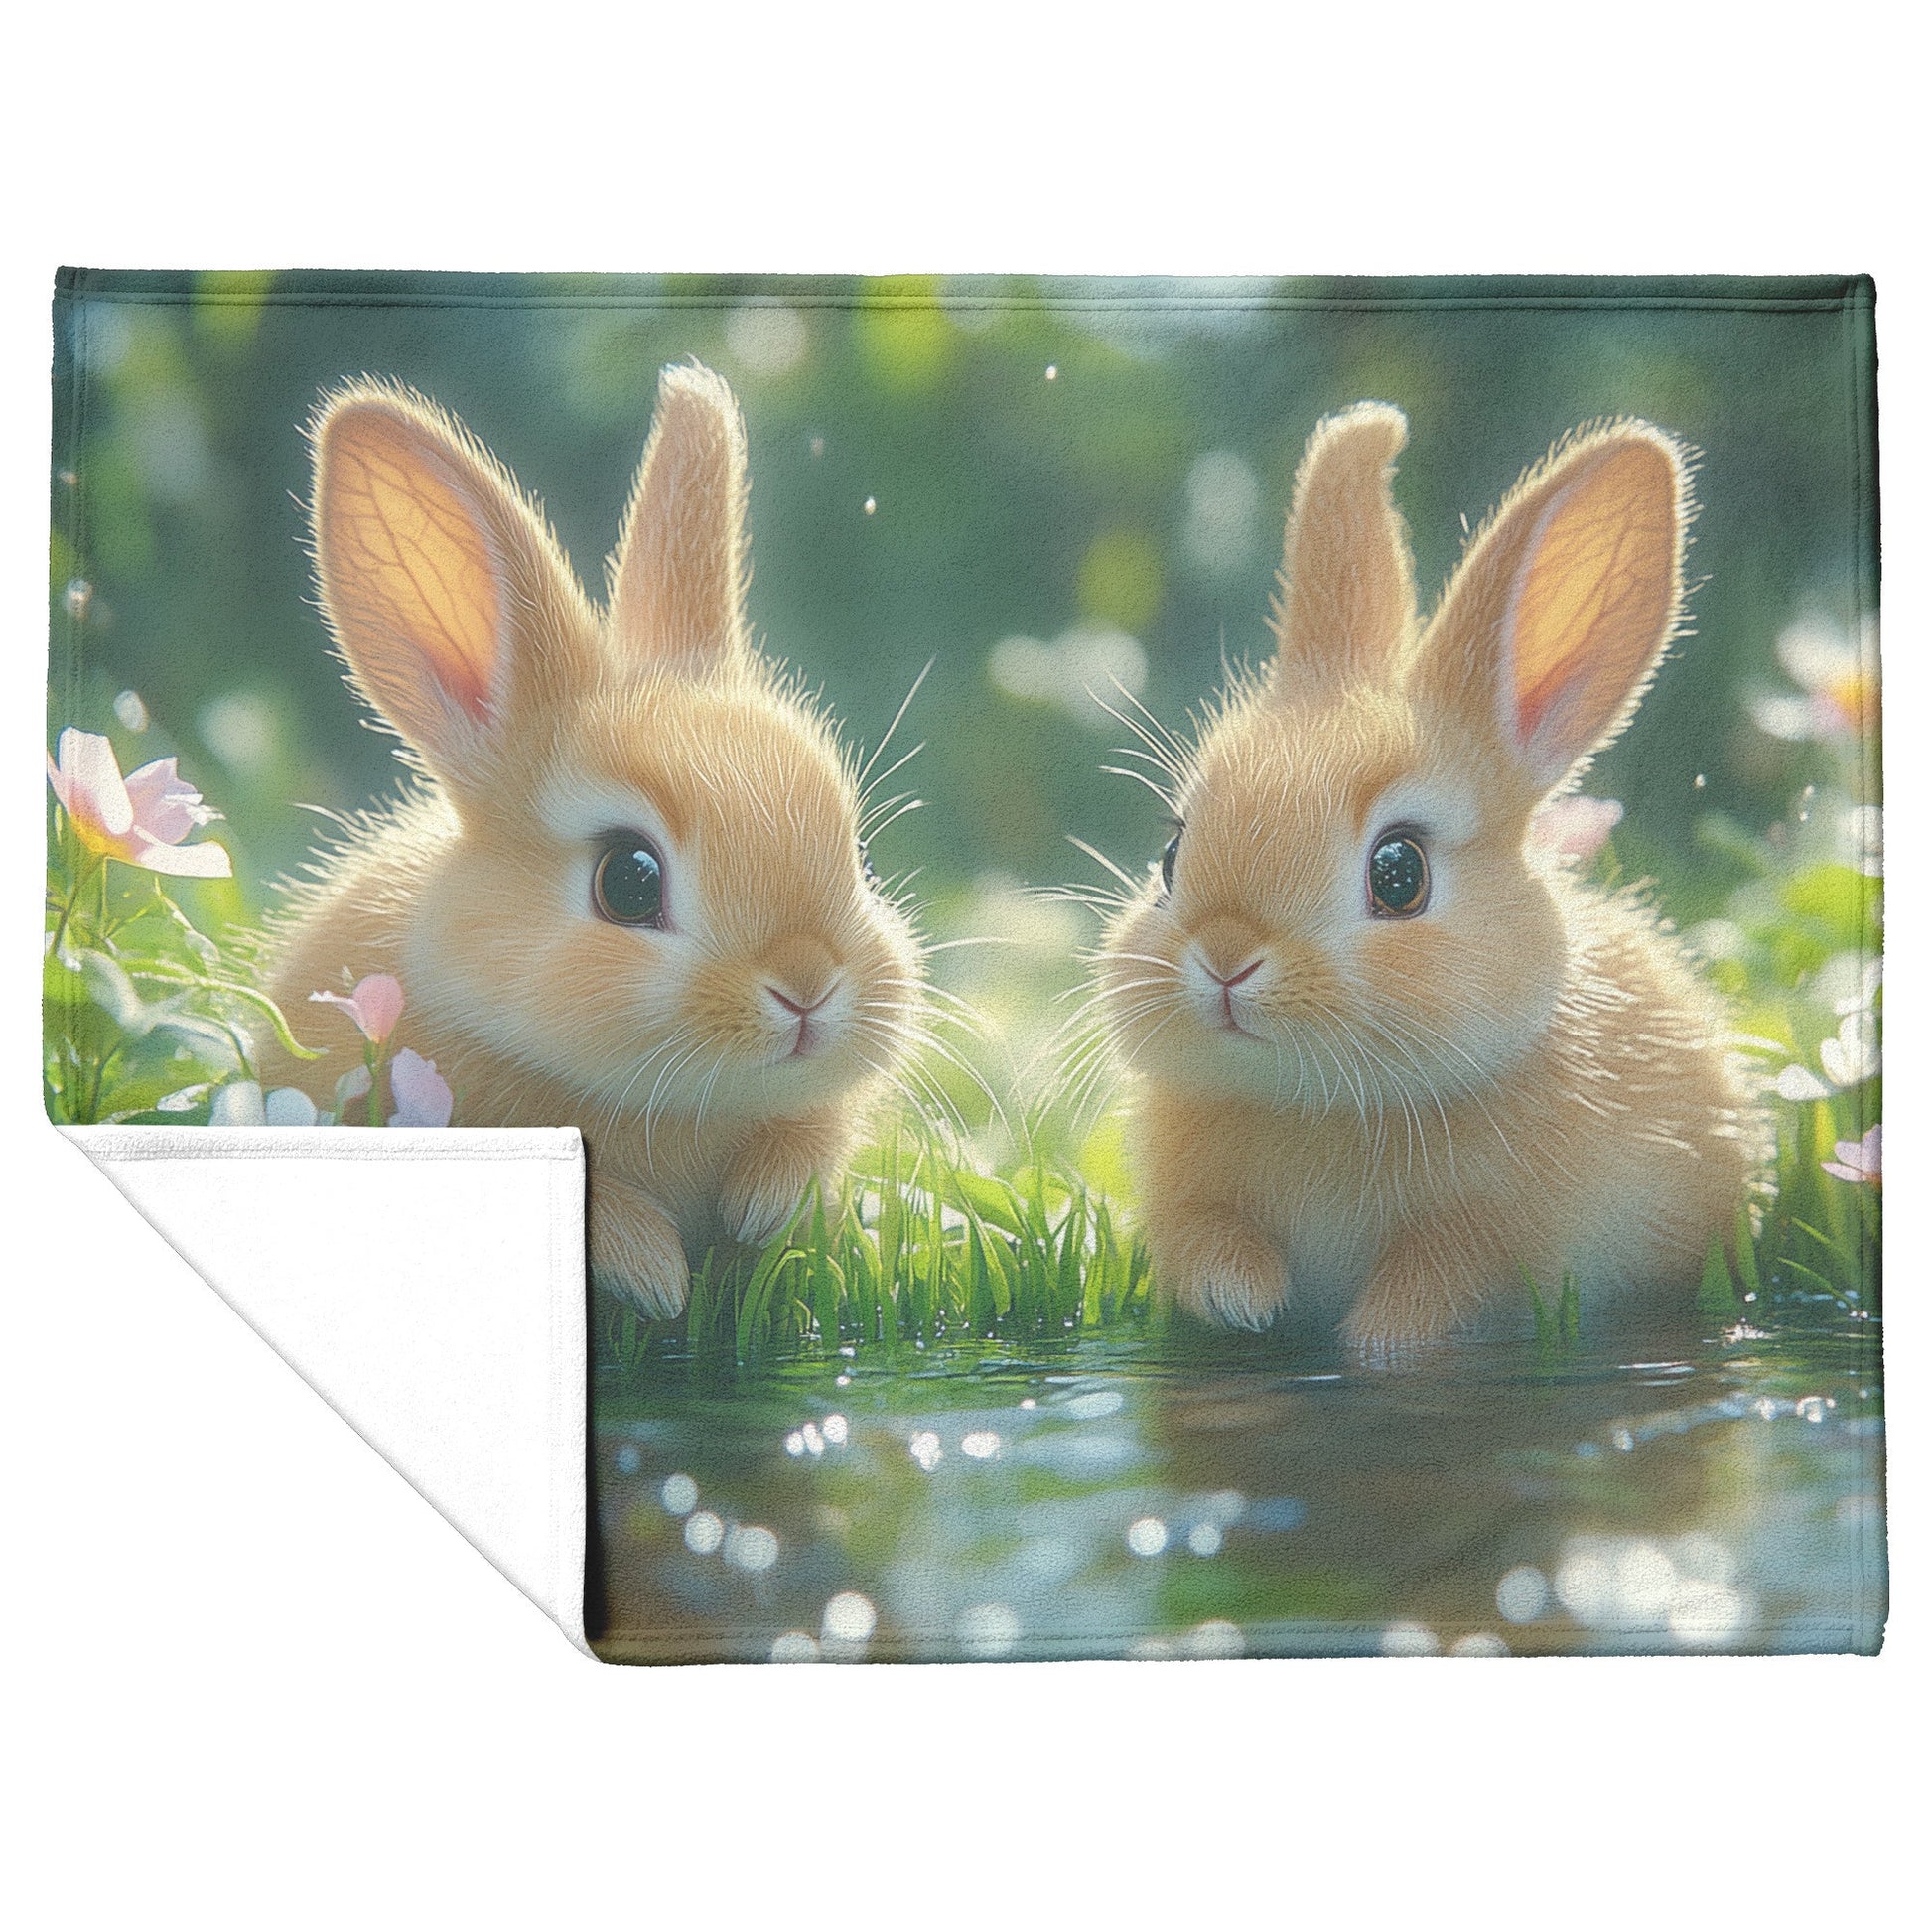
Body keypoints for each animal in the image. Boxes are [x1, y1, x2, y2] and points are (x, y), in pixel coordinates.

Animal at [256, 361, 926, 1317]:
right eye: (630, 880)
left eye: (861, 858)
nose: (806, 985)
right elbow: (596, 1202)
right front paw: (656, 1275)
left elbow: (804, 1142)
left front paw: (763, 1210)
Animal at [1091, 402, 1762, 1359]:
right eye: (1171, 856)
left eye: (1399, 873)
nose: (1225, 957)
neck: (1319, 1110)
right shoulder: (1191, 1205)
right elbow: (1208, 1244)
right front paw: (1251, 1304)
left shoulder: (1489, 1236)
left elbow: (1435, 1285)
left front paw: (1372, 1347)